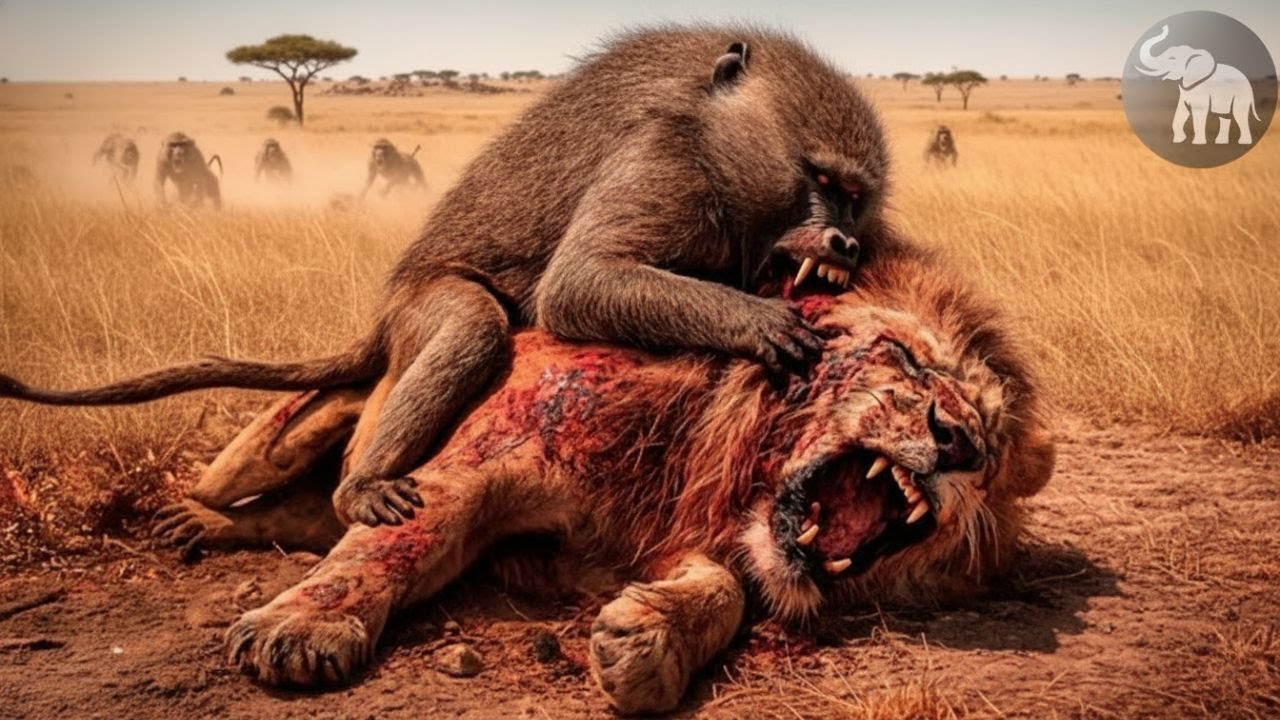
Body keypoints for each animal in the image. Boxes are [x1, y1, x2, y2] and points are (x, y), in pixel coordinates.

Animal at [153, 244, 1054, 714]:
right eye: (906, 359)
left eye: (993, 445)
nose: (959, 441)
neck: (714, 448)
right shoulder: (481, 463)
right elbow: (395, 539)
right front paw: (298, 632)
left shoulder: (660, 542)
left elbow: (726, 590)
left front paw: (644, 643)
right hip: (291, 429)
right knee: (276, 486)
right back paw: (194, 520)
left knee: (308, 517)